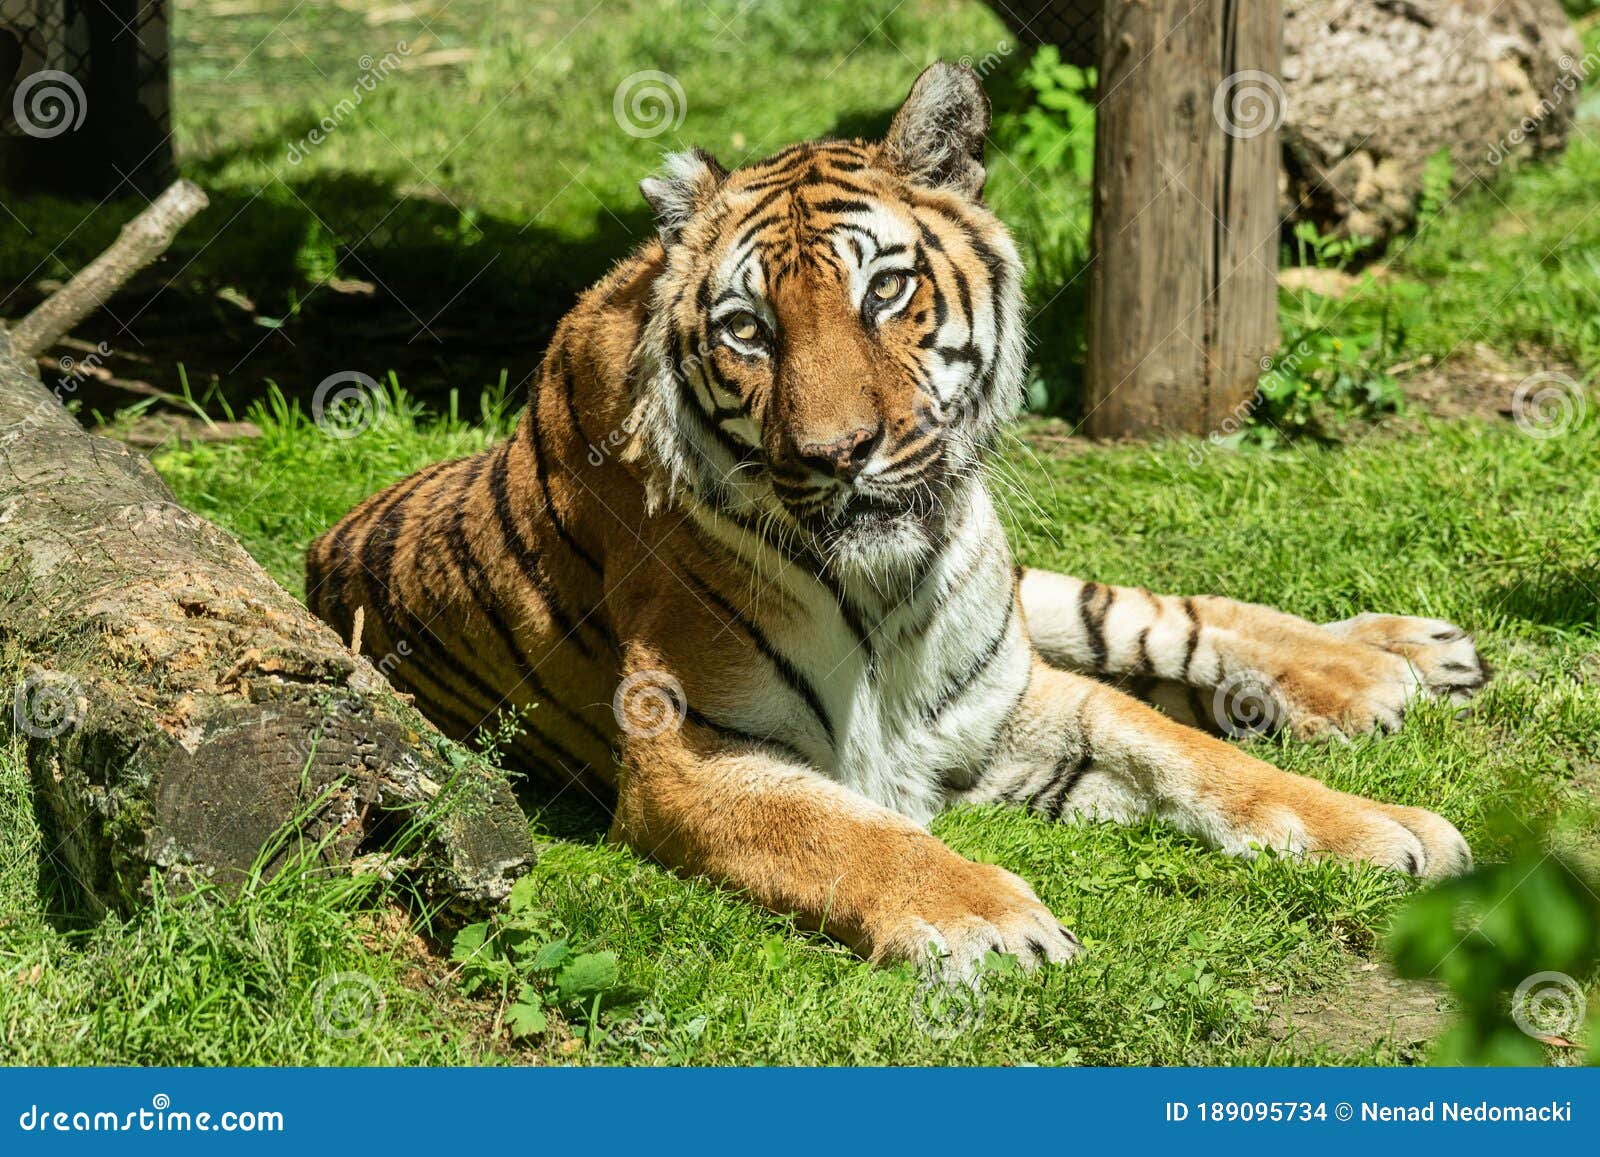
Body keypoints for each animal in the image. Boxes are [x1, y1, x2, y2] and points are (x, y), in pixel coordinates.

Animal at [306, 63, 1487, 977]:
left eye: (884, 291)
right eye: (747, 329)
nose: (836, 455)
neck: (885, 587)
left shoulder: (1013, 698)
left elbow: (1195, 755)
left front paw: (1384, 827)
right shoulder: (688, 755)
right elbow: (847, 834)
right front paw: (992, 922)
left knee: (1151, 614)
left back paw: (1383, 661)